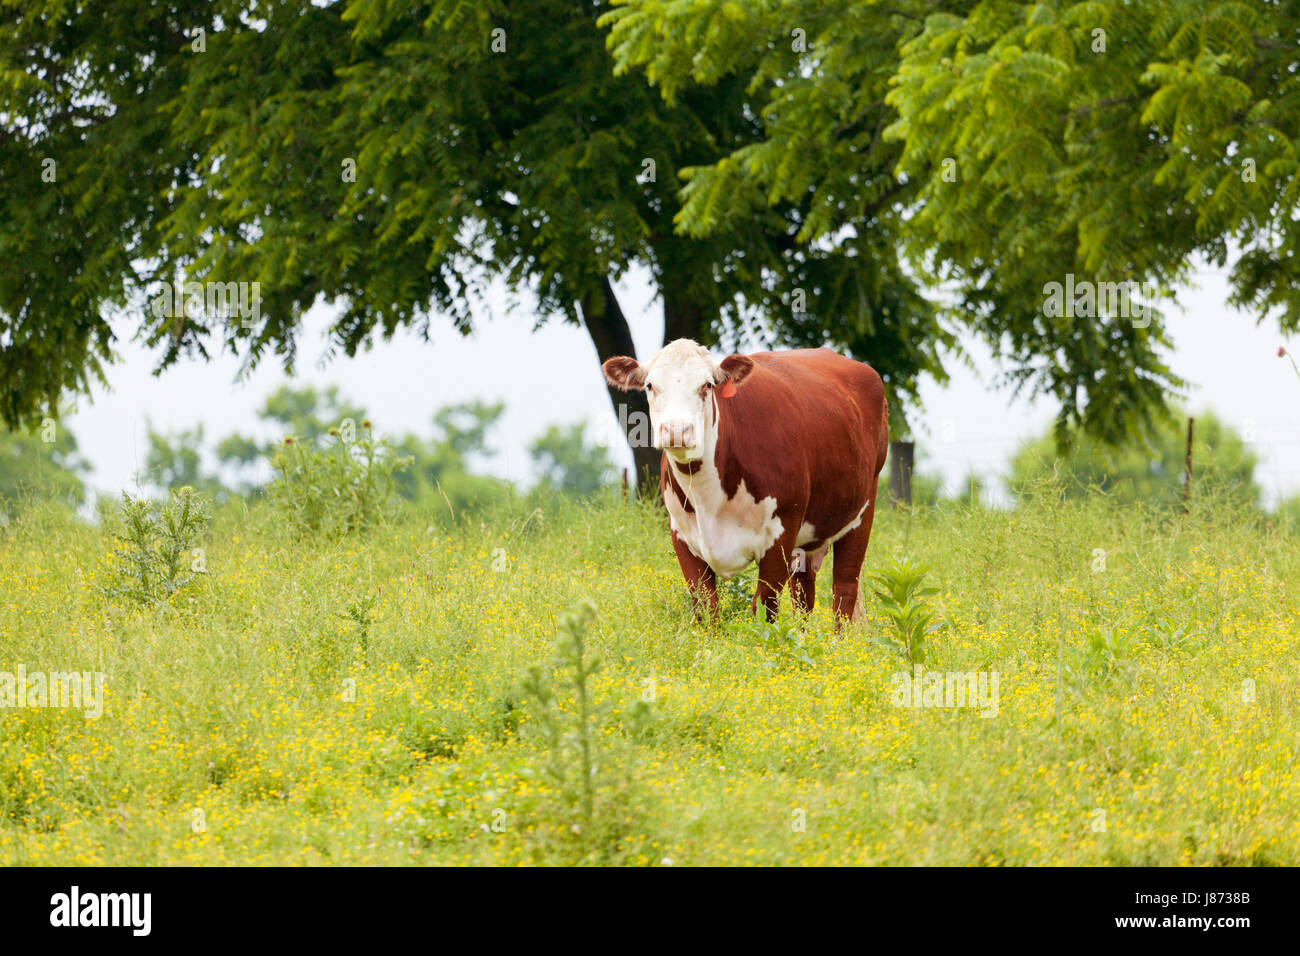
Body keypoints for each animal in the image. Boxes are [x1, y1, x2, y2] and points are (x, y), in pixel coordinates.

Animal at [603, 339, 889, 624]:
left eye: (707, 385)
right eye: (650, 385)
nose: (676, 430)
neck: (709, 498)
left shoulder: (782, 533)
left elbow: (764, 606)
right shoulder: (682, 536)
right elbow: (706, 608)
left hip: (861, 514)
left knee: (844, 590)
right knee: (803, 593)